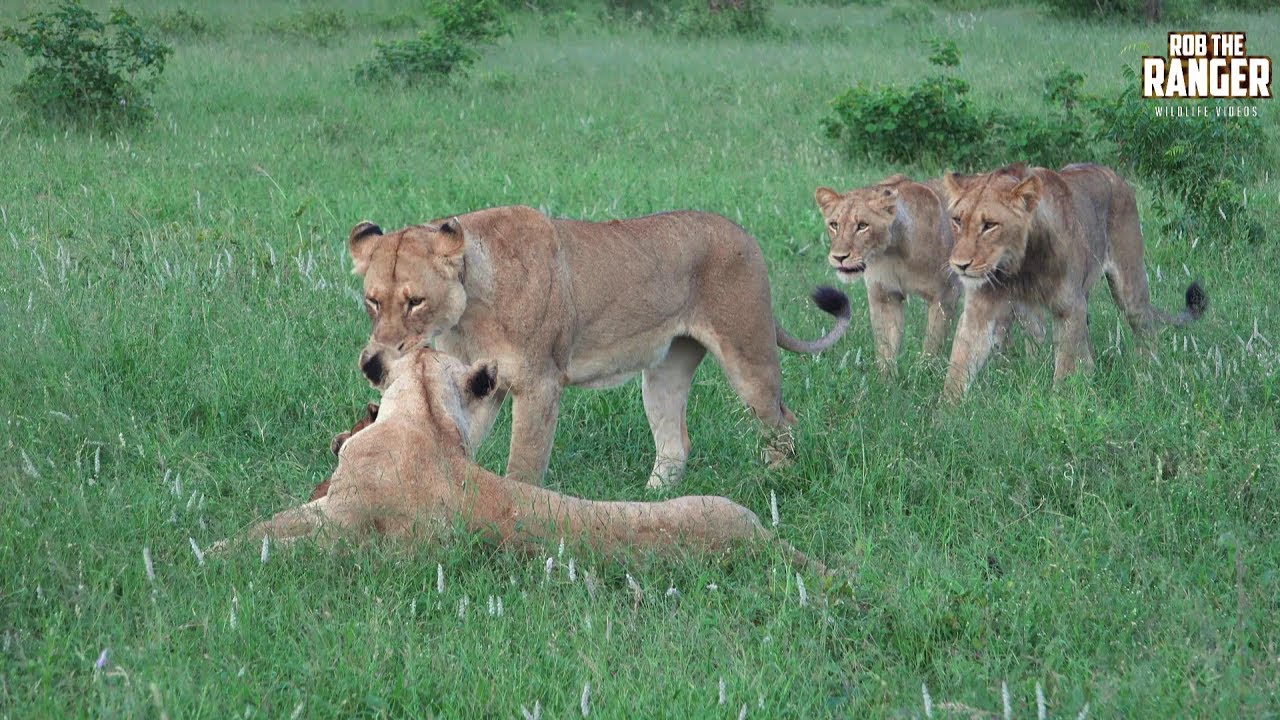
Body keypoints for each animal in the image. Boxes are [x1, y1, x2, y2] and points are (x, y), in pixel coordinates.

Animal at [348, 206, 851, 488]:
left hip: (749, 354)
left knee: (781, 421)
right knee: (675, 442)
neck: (470, 308)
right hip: (664, 372)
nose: (373, 364)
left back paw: (778, 482)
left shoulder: (540, 383)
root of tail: (746, 234)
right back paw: (652, 499)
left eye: (415, 301)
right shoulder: (484, 383)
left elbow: (524, 462)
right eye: (373, 301)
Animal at [815, 175, 1045, 375]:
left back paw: (1032, 365)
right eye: (834, 225)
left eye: (862, 226)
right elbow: (885, 347)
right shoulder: (884, 295)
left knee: (1034, 328)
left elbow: (933, 342)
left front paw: (924, 372)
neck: (894, 251)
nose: (839, 257)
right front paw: (885, 382)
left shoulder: (944, 296)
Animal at [942, 163, 1207, 398]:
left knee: (1145, 329)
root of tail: (1116, 176)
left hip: (1130, 288)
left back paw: (1149, 375)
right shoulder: (979, 311)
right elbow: (959, 366)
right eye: (957, 220)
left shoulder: (1069, 307)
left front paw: (1060, 405)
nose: (959, 264)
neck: (1018, 267)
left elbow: (1065, 365)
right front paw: (946, 414)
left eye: (990, 225)